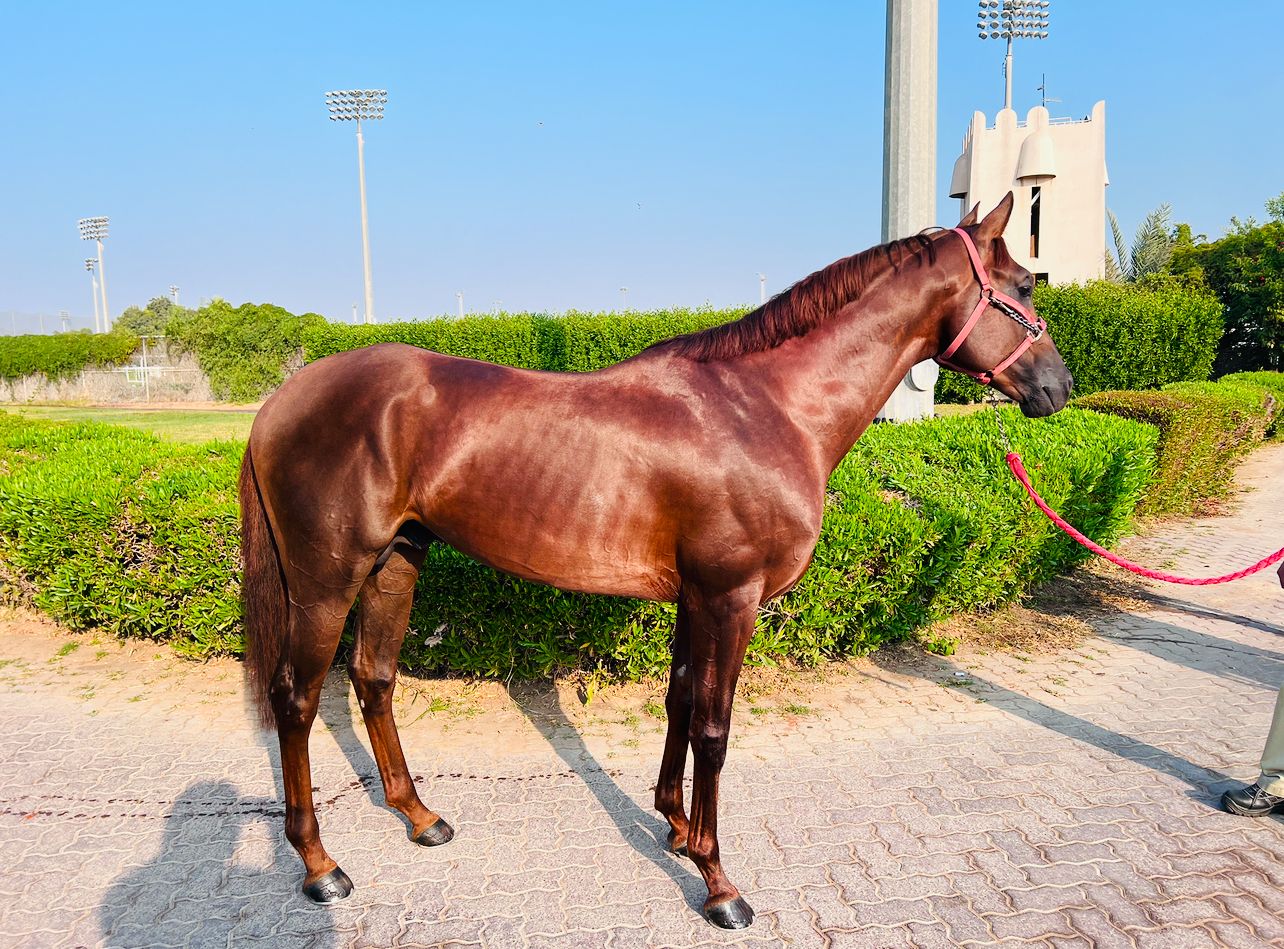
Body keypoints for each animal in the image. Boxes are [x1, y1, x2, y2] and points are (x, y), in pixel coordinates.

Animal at [238, 193, 1072, 929]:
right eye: (1024, 285)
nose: (1059, 386)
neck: (766, 406)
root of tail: (282, 399)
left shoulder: (693, 597)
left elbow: (677, 701)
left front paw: (674, 825)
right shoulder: (731, 597)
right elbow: (714, 727)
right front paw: (718, 880)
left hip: (395, 562)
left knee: (374, 679)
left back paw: (419, 815)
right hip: (325, 578)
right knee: (296, 700)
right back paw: (320, 865)